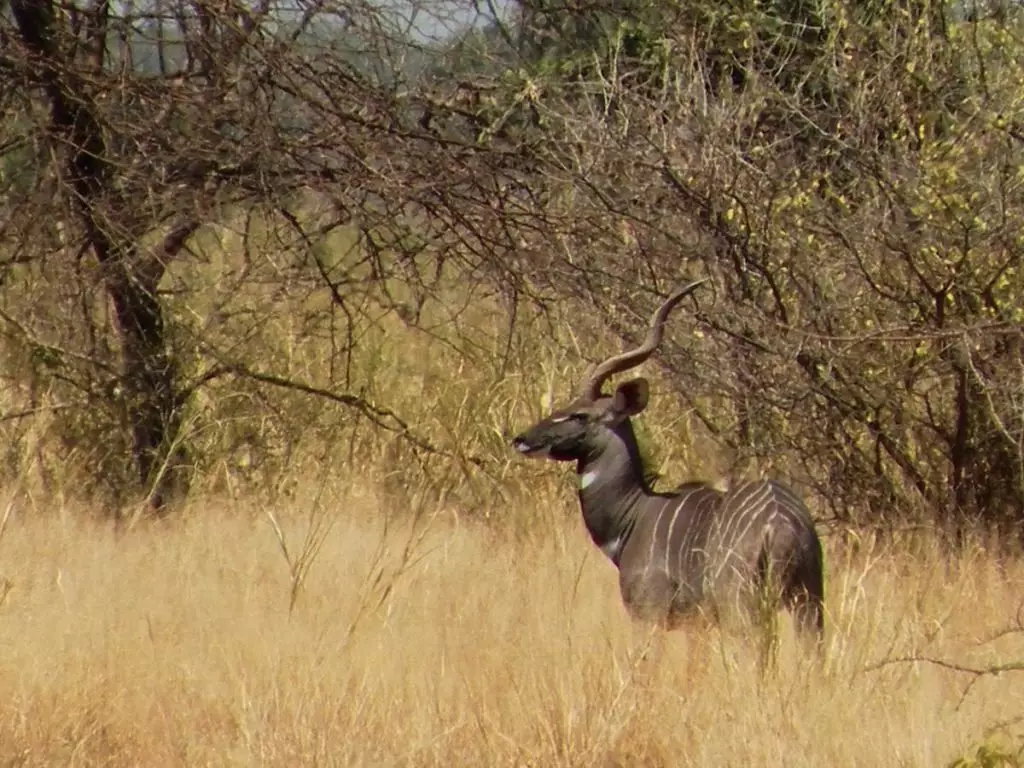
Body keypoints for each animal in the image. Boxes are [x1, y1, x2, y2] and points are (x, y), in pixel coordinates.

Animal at [512, 280, 823, 647]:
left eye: (579, 415)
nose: (521, 439)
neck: (634, 514)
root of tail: (782, 525)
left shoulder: (649, 613)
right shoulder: (698, 626)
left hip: (743, 606)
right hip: (809, 603)